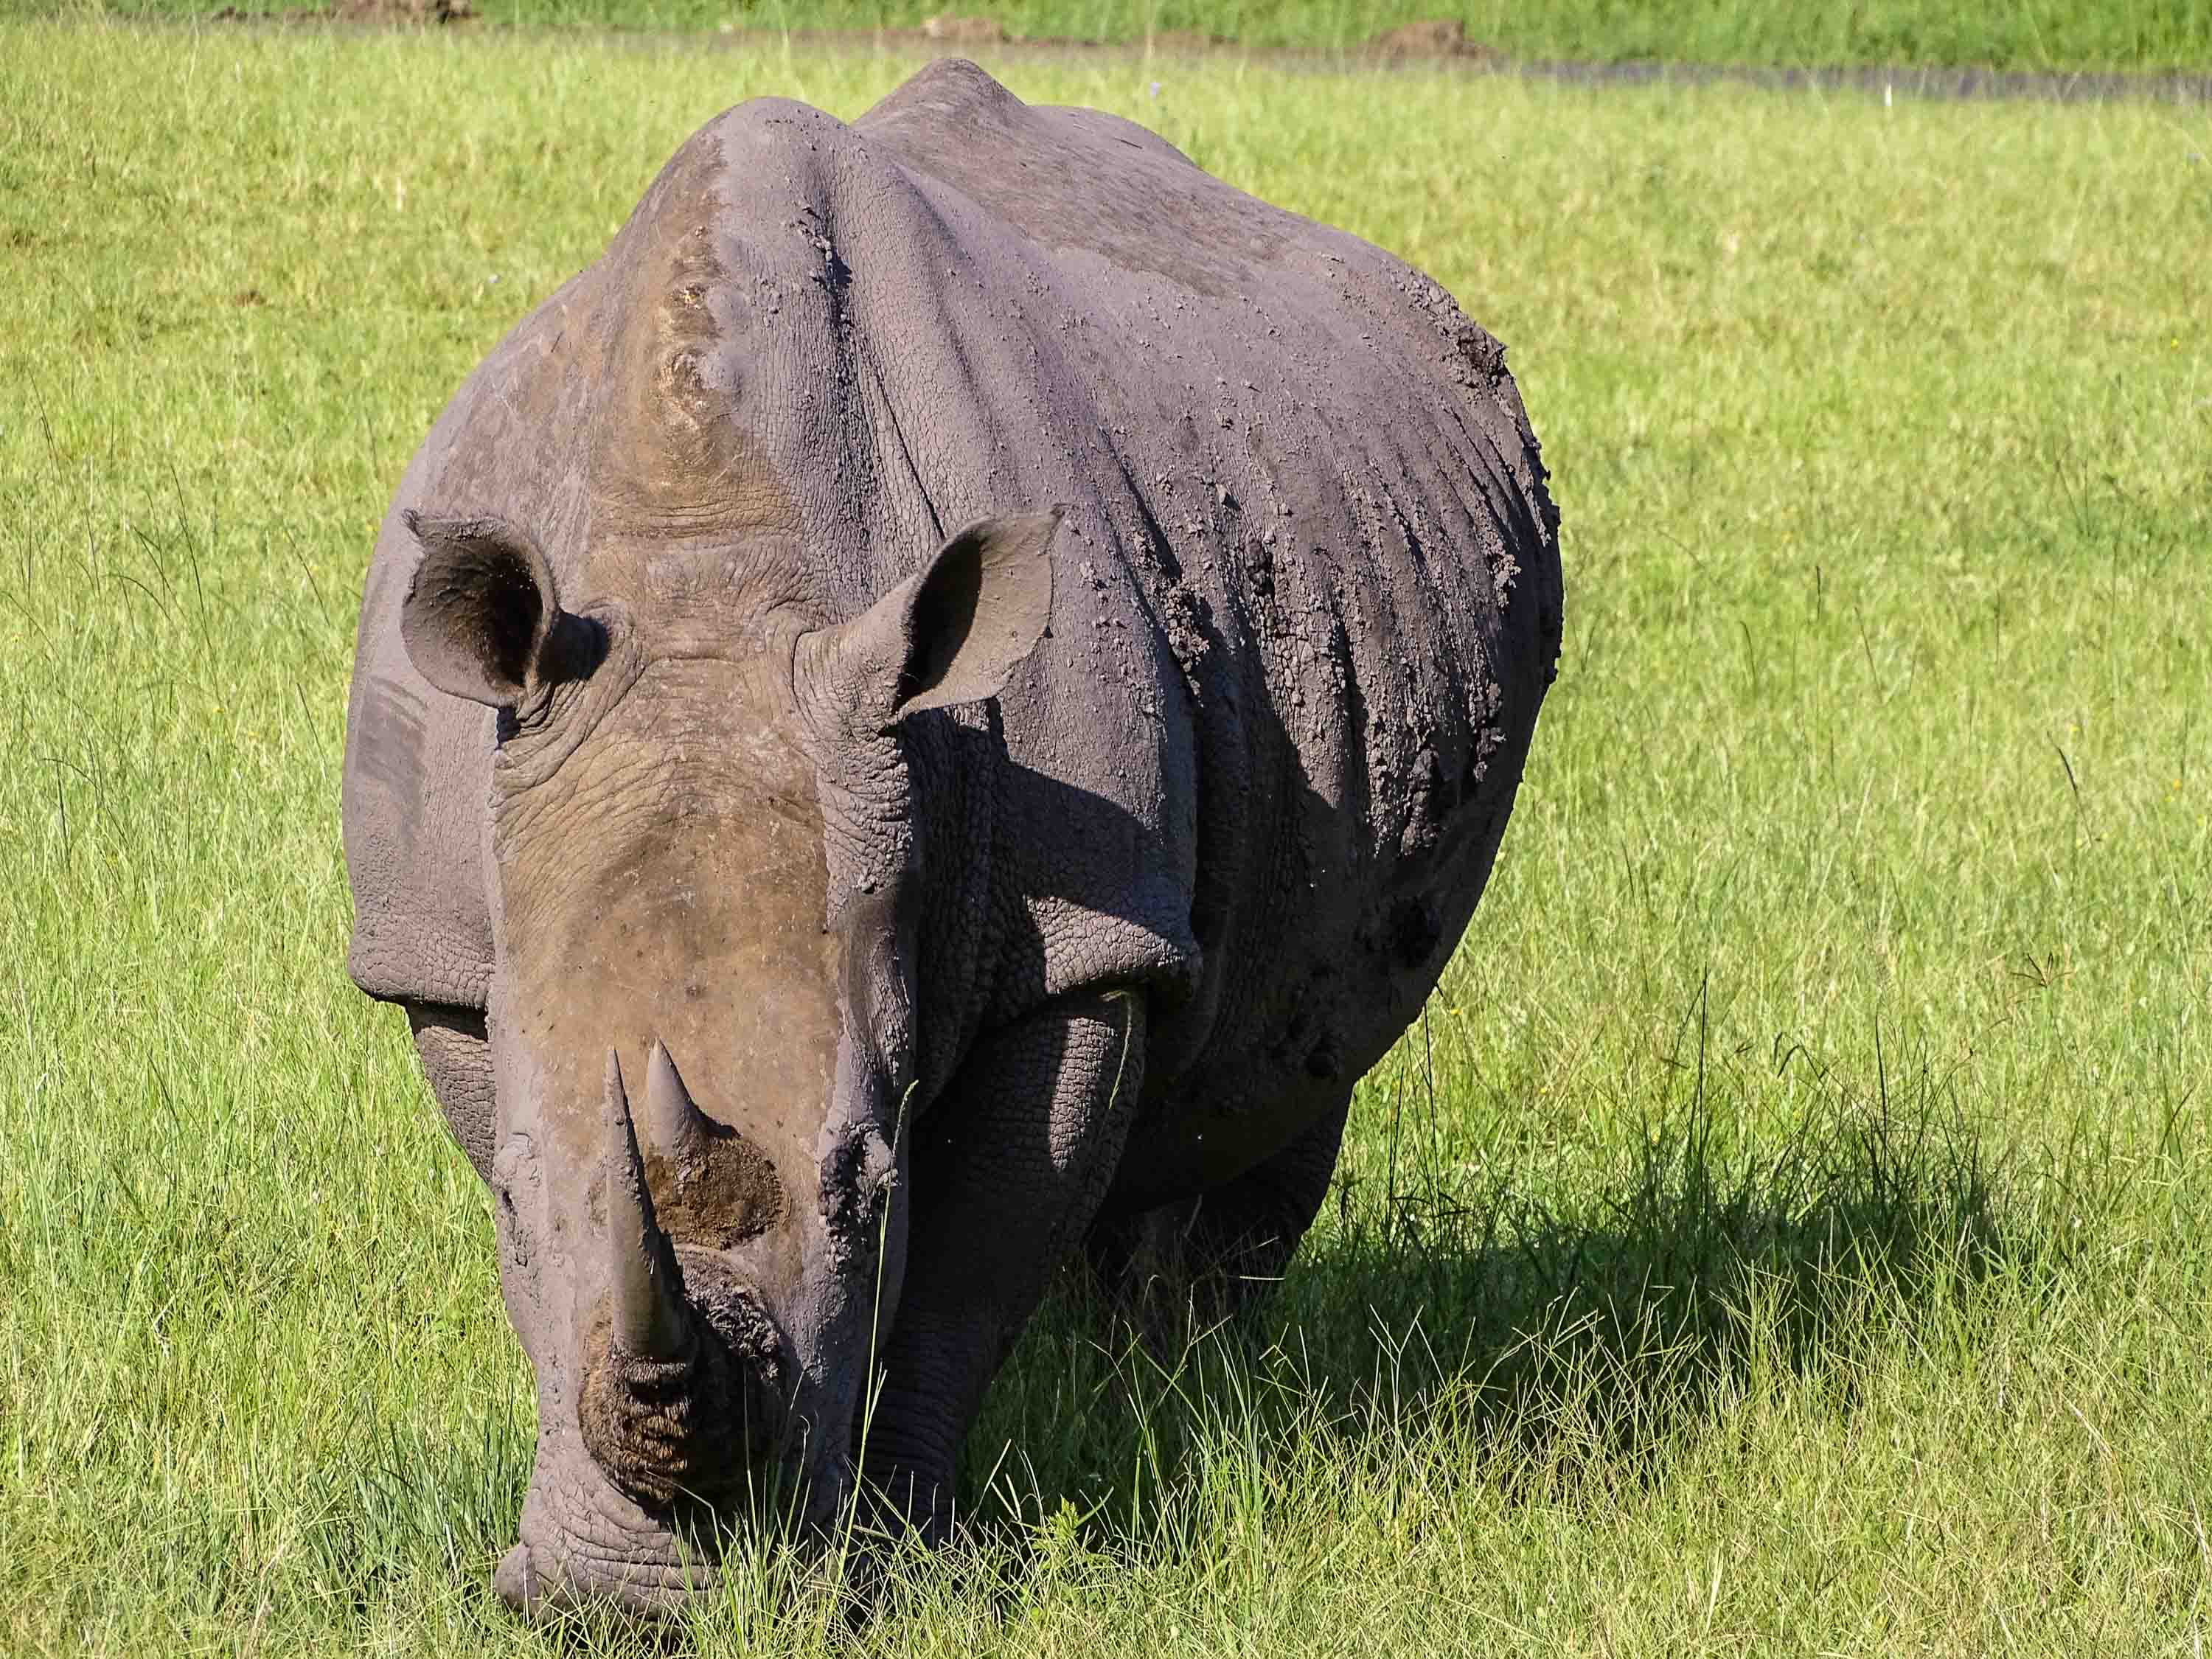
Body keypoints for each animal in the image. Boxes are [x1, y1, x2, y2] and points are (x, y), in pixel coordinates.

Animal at [341, 59, 1561, 1615]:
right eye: (512, 1189)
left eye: (871, 1183)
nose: (647, 1607)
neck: (709, 572)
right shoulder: (438, 948)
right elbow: (544, 1232)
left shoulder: (1084, 934)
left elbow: (968, 1272)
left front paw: (901, 1561)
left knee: (1299, 1049)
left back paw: (1191, 1397)